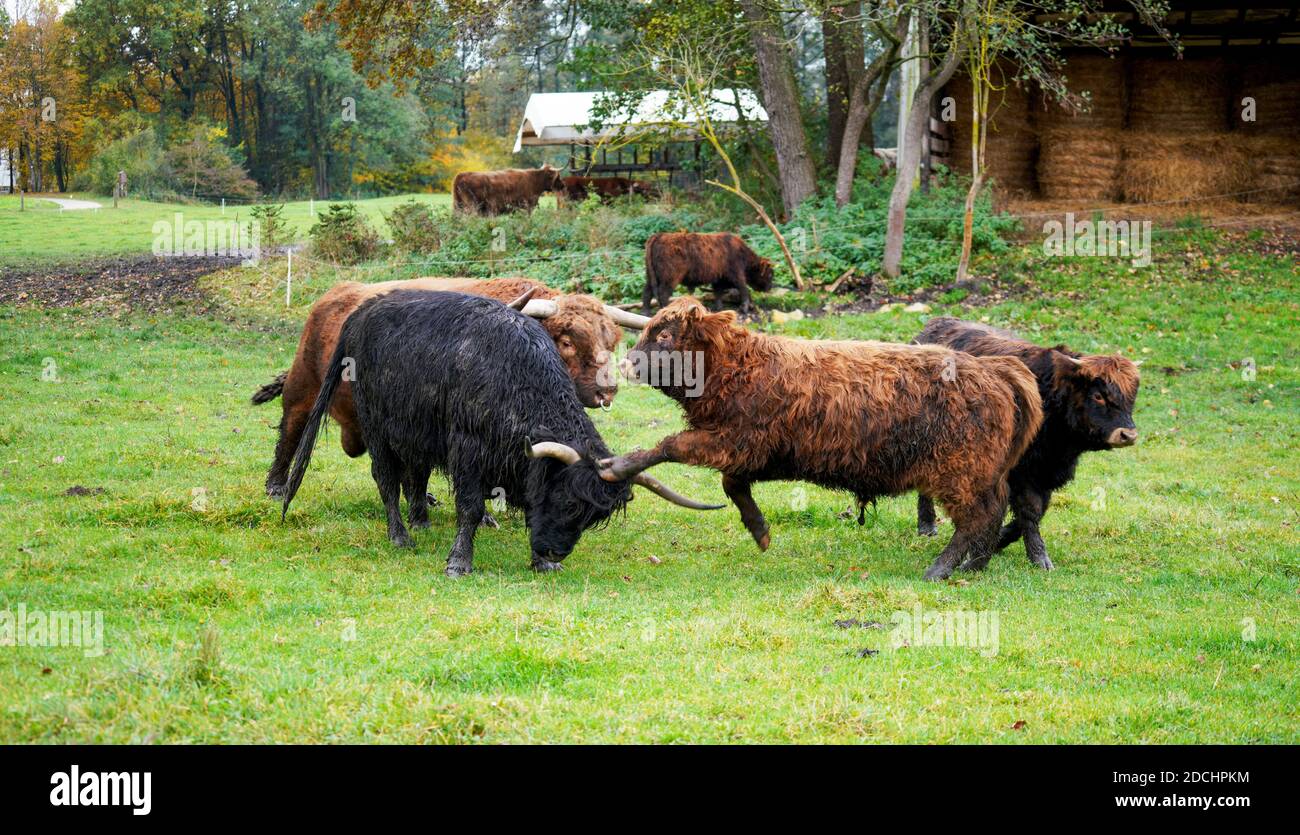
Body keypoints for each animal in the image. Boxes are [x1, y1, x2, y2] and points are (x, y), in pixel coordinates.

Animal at [252, 277, 649, 499]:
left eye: (610, 340)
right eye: (567, 340)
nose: (607, 391)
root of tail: (333, 297)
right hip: (304, 386)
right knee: (291, 429)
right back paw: (275, 485)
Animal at [280, 291, 720, 576]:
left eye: (591, 517)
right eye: (565, 500)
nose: (553, 549)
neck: (515, 377)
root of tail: (364, 310)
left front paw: (542, 562)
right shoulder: (467, 450)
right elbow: (471, 508)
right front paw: (459, 562)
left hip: (416, 432)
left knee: (415, 475)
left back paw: (421, 520)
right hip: (378, 428)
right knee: (386, 480)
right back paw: (402, 536)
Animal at [595, 298, 1044, 581]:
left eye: (665, 336)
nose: (627, 363)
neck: (737, 368)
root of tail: (995, 369)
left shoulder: (732, 440)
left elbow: (669, 446)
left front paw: (615, 467)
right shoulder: (759, 452)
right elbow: (731, 484)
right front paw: (760, 531)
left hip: (959, 469)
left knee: (977, 517)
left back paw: (942, 569)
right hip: (978, 471)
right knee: (993, 511)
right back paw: (973, 567)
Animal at [643, 232, 774, 316]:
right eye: (770, 274)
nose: (769, 288)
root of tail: (659, 235)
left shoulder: (719, 279)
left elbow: (718, 292)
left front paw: (719, 308)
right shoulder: (736, 276)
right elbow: (744, 290)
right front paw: (746, 308)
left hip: (651, 276)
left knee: (647, 292)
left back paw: (646, 312)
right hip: (670, 278)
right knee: (663, 294)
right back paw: (665, 310)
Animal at [913, 317, 1140, 571]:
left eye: (1131, 397)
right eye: (1098, 395)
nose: (1128, 435)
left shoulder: (1047, 473)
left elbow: (1033, 513)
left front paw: (1000, 539)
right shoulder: (1020, 473)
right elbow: (1029, 511)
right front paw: (1039, 558)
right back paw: (927, 526)